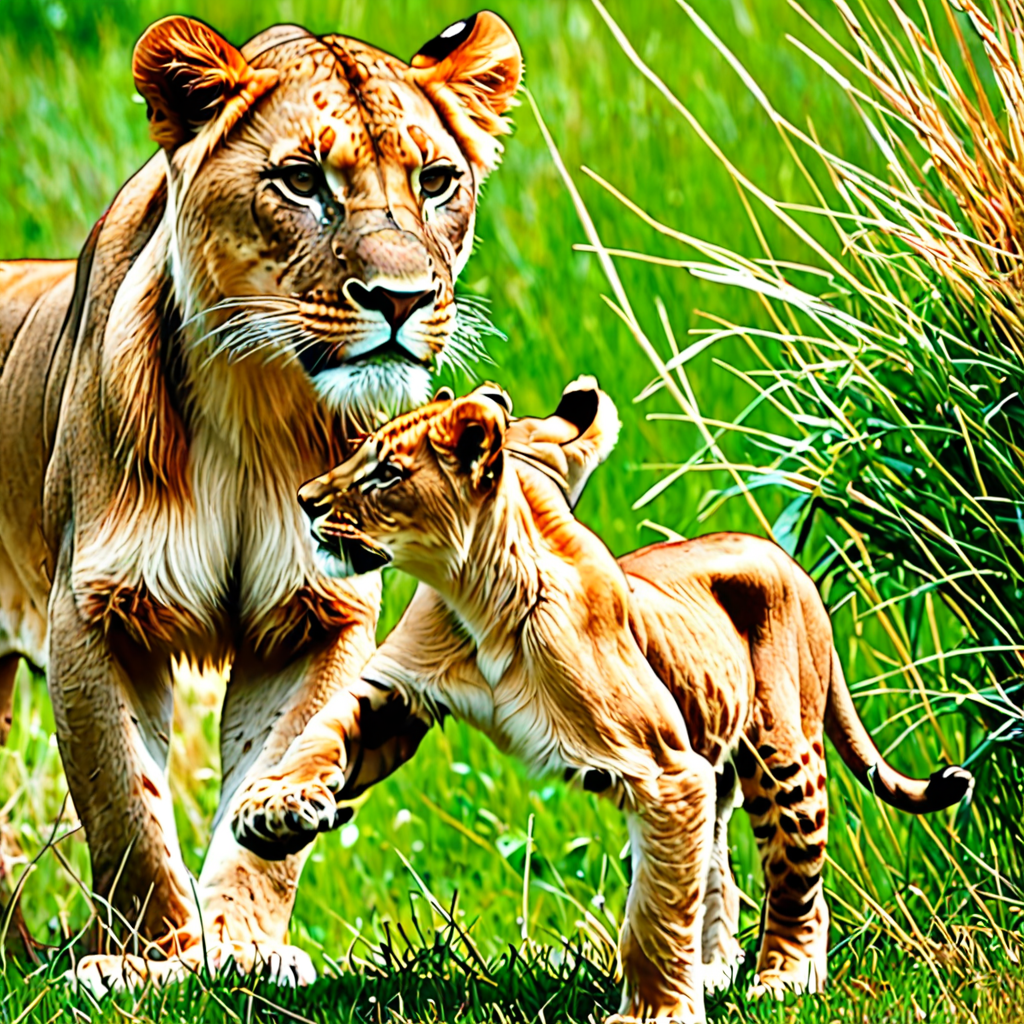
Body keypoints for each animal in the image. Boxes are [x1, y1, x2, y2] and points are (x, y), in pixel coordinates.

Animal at [0, 11, 521, 990]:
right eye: (304, 180)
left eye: (436, 181)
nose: (403, 300)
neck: (259, 400)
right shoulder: (93, 611)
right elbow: (125, 807)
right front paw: (151, 962)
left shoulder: (320, 612)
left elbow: (280, 764)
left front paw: (242, 943)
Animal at [230, 379, 973, 1023]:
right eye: (360, 452)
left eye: (385, 472)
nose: (305, 500)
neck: (476, 598)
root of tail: (787, 560)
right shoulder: (396, 696)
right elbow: (318, 735)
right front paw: (273, 812)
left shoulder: (669, 771)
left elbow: (654, 912)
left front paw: (656, 1015)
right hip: (720, 772)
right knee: (719, 874)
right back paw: (716, 972)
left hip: (781, 756)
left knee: (796, 878)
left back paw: (783, 979)